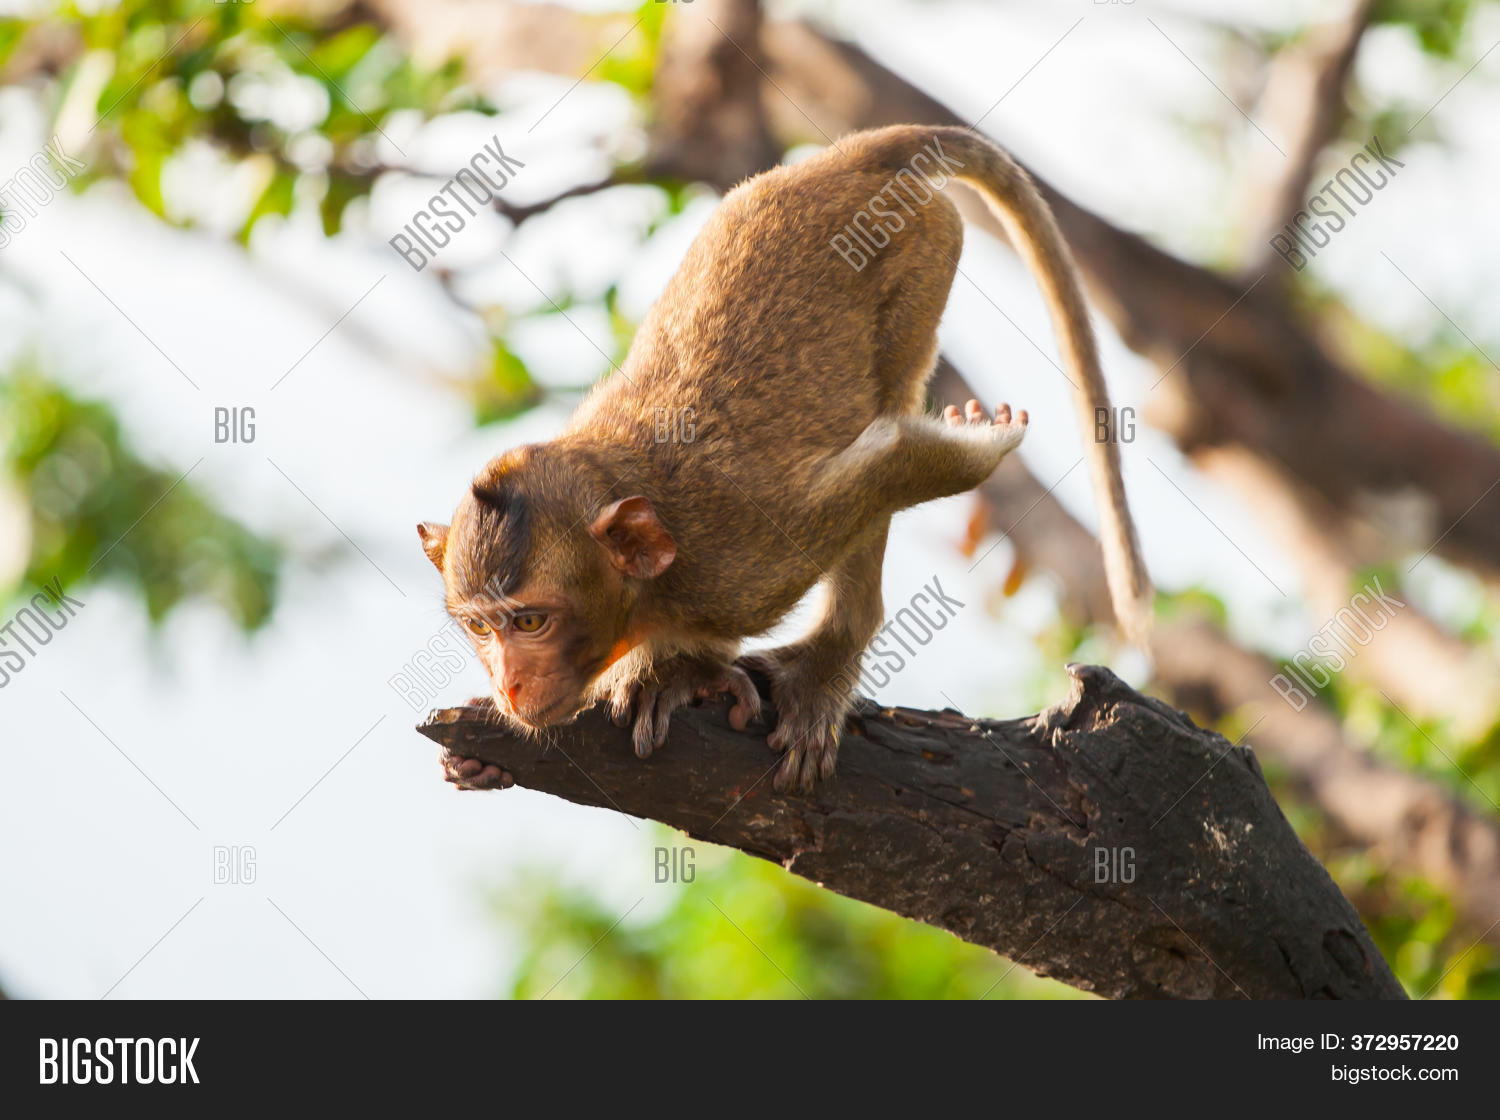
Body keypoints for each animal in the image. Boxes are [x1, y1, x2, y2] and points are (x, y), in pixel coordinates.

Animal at [418, 124, 1152, 794]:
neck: (651, 590)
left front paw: (973, 452)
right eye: (480, 627)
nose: (509, 686)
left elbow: (891, 461)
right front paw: (667, 675)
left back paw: (827, 661)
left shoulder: (745, 566)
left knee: (890, 395)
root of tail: (845, 158)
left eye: (530, 622)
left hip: (927, 247)